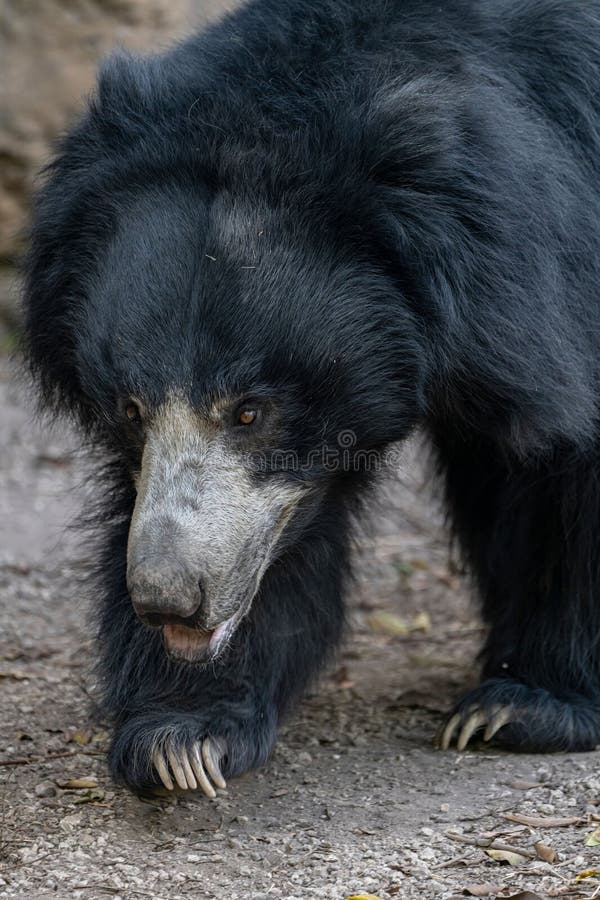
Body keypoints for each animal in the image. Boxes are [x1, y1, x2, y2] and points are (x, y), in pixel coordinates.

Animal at [23, 0, 600, 796]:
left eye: (251, 410)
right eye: (131, 410)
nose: (167, 599)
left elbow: (558, 477)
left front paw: (521, 709)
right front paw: (182, 735)